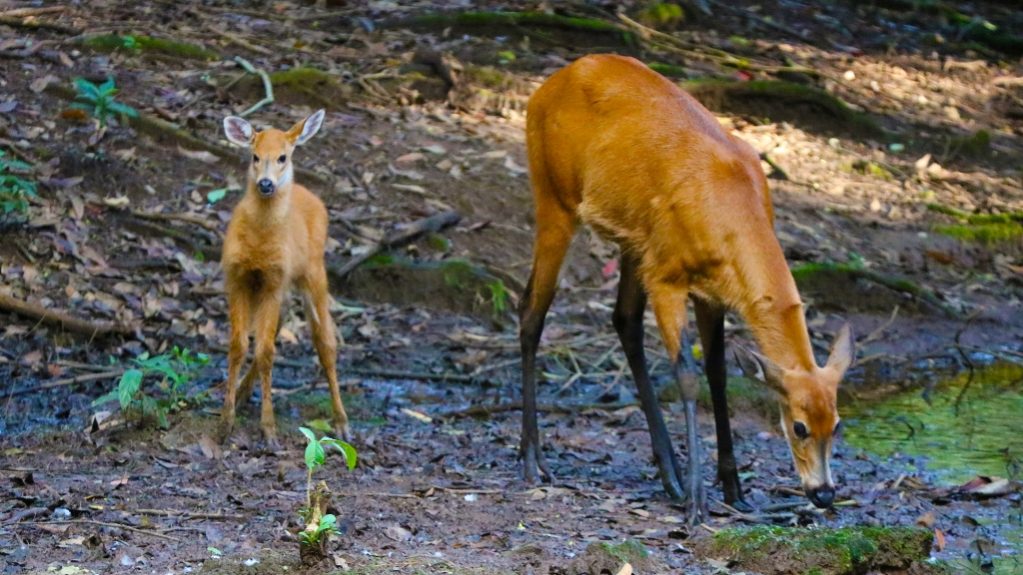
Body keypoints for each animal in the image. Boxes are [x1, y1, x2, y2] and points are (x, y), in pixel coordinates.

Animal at [218, 110, 349, 448]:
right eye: (254, 156)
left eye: (282, 157)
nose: (266, 184)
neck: (259, 245)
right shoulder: (237, 278)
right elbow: (239, 345)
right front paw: (225, 421)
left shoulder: (274, 282)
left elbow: (266, 352)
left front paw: (269, 428)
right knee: (274, 332)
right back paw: (242, 392)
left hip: (313, 273)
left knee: (325, 343)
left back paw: (342, 422)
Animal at [519, 54, 854, 523]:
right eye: (799, 426)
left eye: (837, 424)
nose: (823, 493)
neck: (731, 214)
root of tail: (543, 89)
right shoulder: (667, 276)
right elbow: (688, 376)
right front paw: (698, 500)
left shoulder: (712, 293)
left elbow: (718, 374)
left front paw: (733, 488)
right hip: (554, 196)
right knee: (532, 309)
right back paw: (533, 459)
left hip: (633, 242)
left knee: (623, 319)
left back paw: (669, 475)